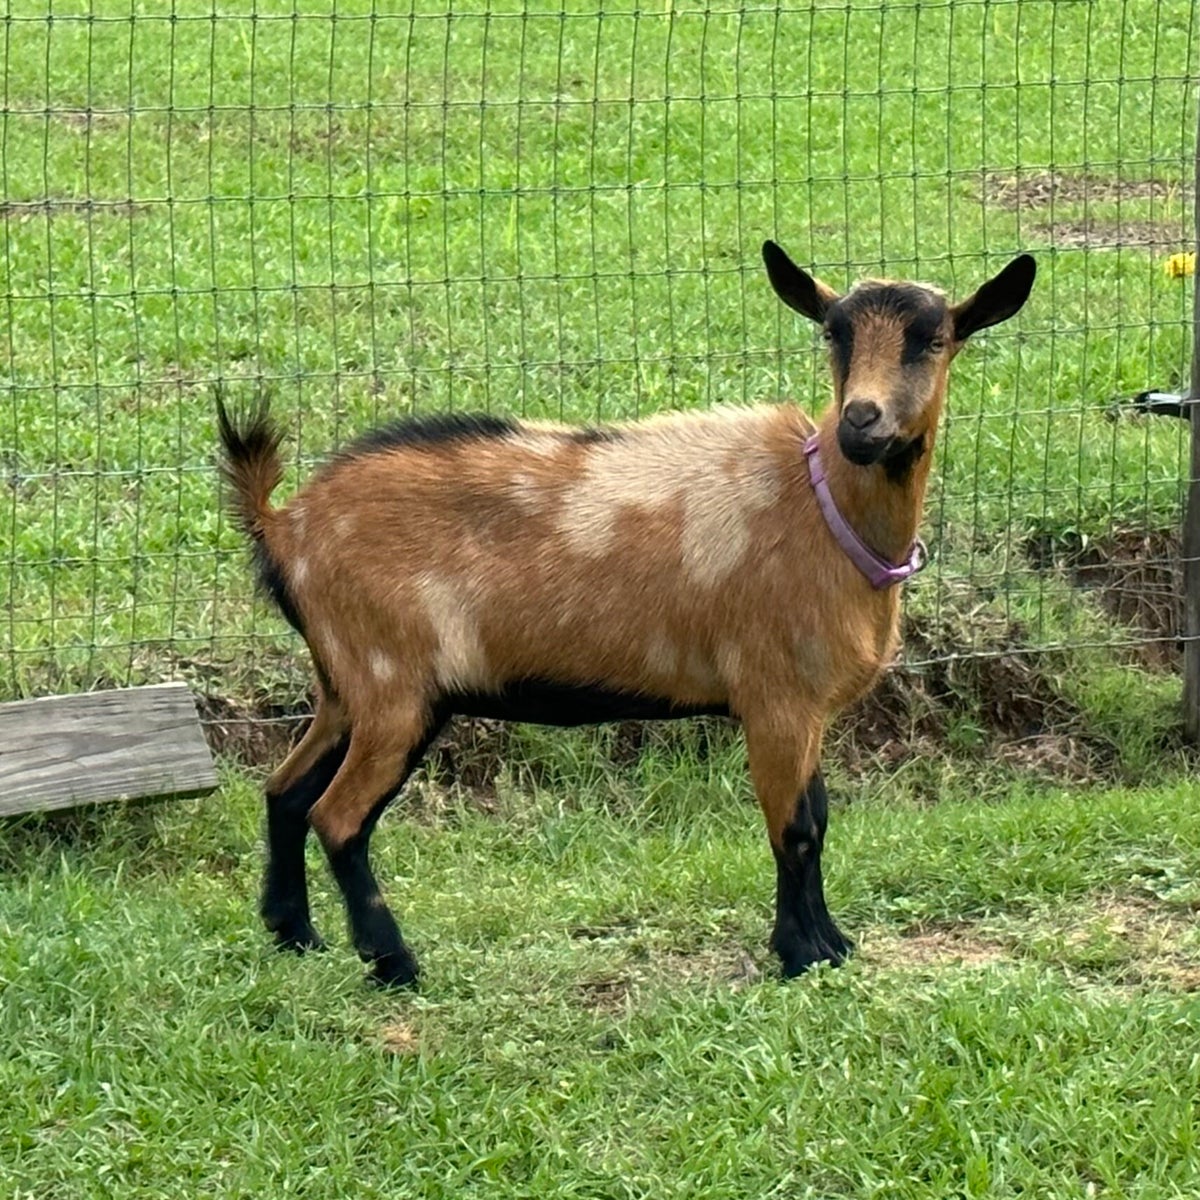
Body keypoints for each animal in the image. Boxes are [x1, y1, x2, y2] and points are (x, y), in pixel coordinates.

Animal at [216, 241, 1035, 988]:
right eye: (833, 333)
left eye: (933, 338)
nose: (861, 422)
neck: (821, 511)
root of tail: (283, 525)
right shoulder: (776, 699)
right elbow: (796, 828)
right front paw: (803, 954)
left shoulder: (805, 711)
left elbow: (819, 816)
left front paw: (831, 942)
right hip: (394, 688)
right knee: (338, 816)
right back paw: (394, 964)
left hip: (344, 684)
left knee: (285, 791)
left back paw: (296, 935)